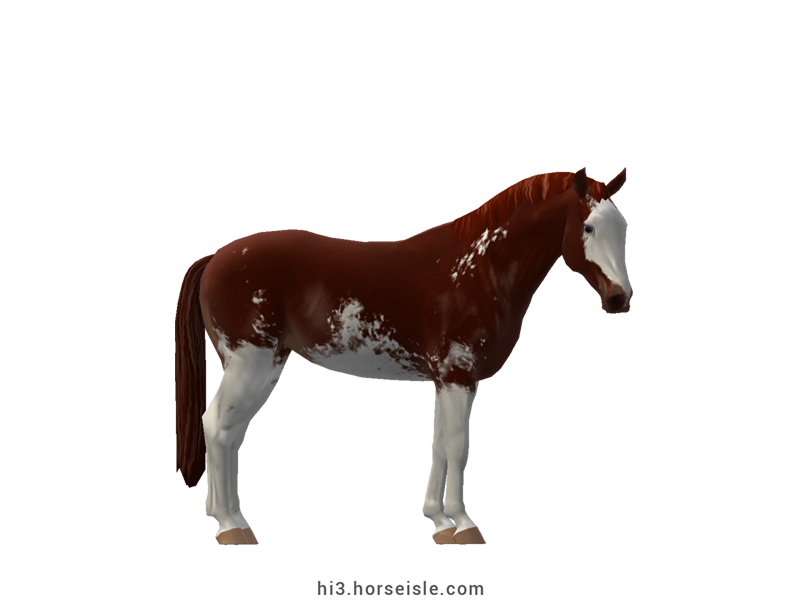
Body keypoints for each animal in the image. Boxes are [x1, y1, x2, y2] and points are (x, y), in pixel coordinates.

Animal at [176, 167, 632, 538]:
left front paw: (436, 519)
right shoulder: (457, 373)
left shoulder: (445, 379)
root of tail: (216, 258)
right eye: (588, 227)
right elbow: (458, 445)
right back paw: (227, 526)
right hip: (247, 364)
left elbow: (440, 444)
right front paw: (462, 521)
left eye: (623, 227)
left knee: (222, 431)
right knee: (217, 428)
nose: (617, 298)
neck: (479, 267)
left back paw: (228, 516)